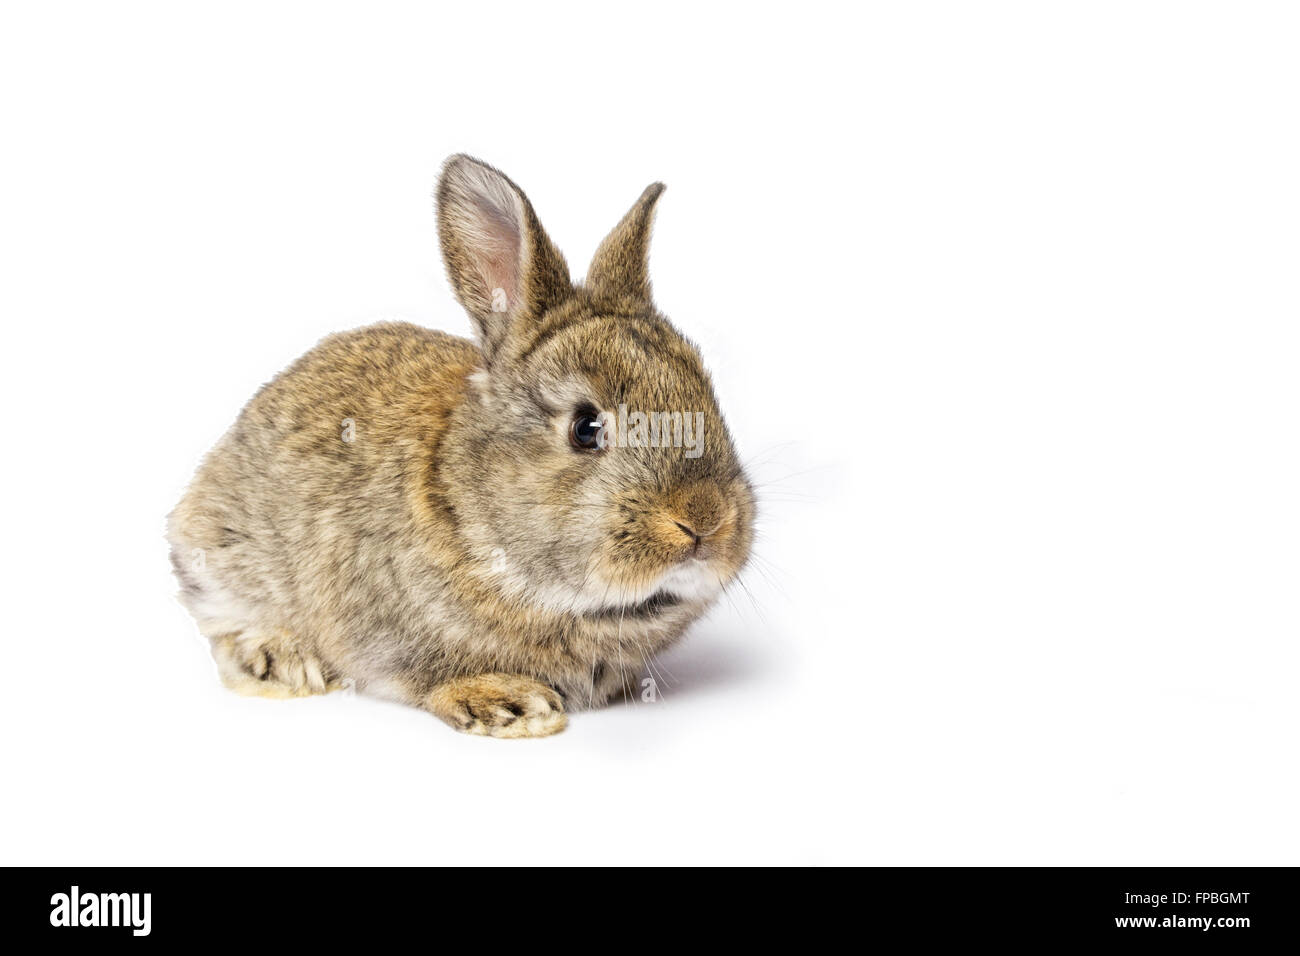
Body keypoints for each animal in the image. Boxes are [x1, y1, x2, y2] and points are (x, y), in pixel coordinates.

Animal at [167, 155, 755, 737]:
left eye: (707, 396)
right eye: (586, 428)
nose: (704, 519)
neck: (469, 514)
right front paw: (512, 705)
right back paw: (285, 663)